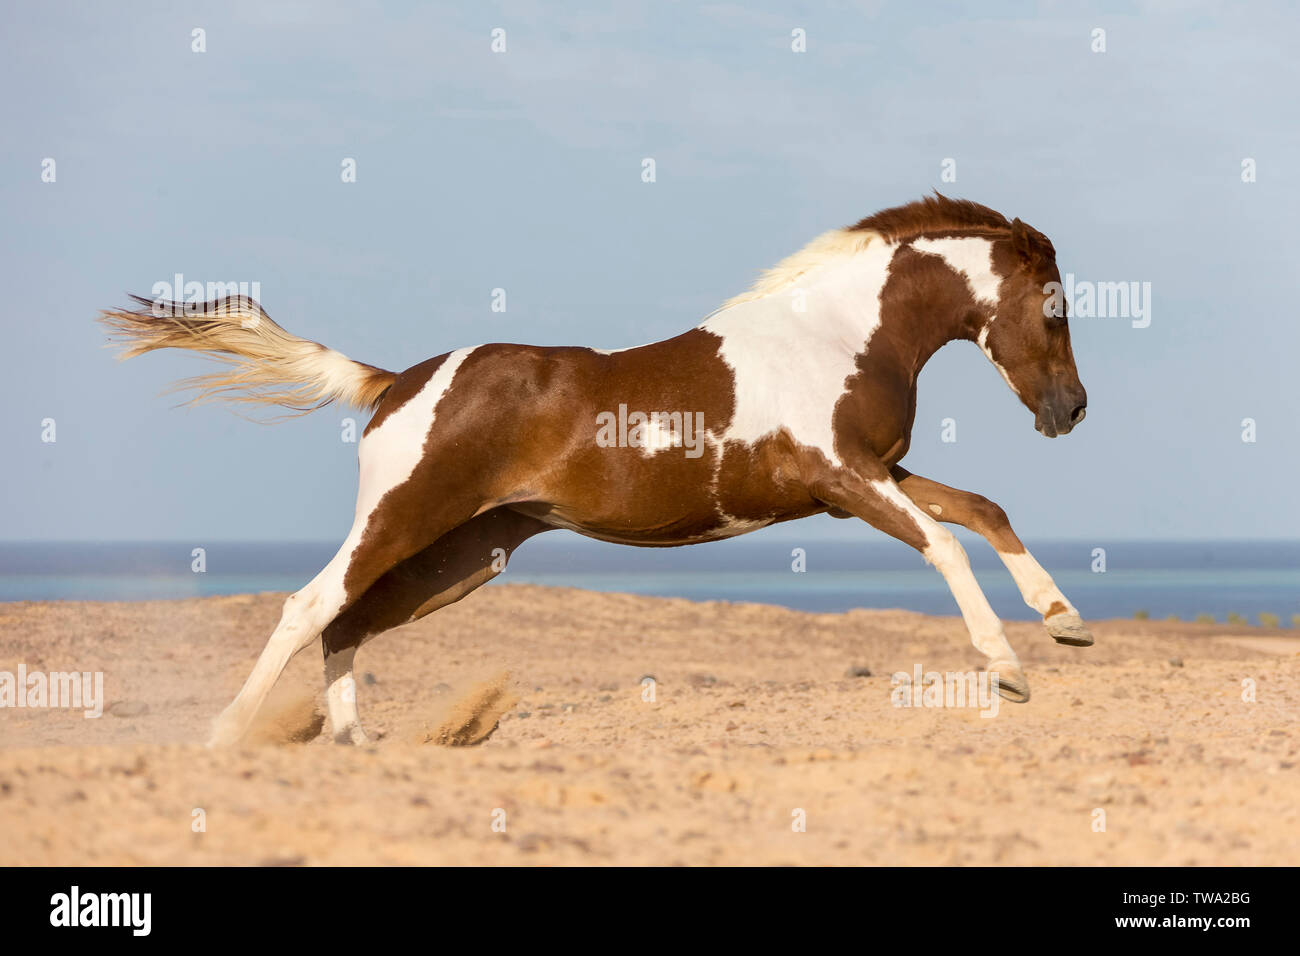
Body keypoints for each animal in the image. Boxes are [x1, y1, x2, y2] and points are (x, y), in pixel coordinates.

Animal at [99, 194, 1091, 747]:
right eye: (1055, 306)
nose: (1070, 410)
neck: (837, 337)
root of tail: (394, 384)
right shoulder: (844, 479)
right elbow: (946, 546)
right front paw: (1008, 667)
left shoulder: (871, 479)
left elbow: (984, 511)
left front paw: (1066, 622)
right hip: (405, 517)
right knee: (310, 606)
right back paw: (228, 733)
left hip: (463, 554)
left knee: (350, 620)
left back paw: (355, 743)